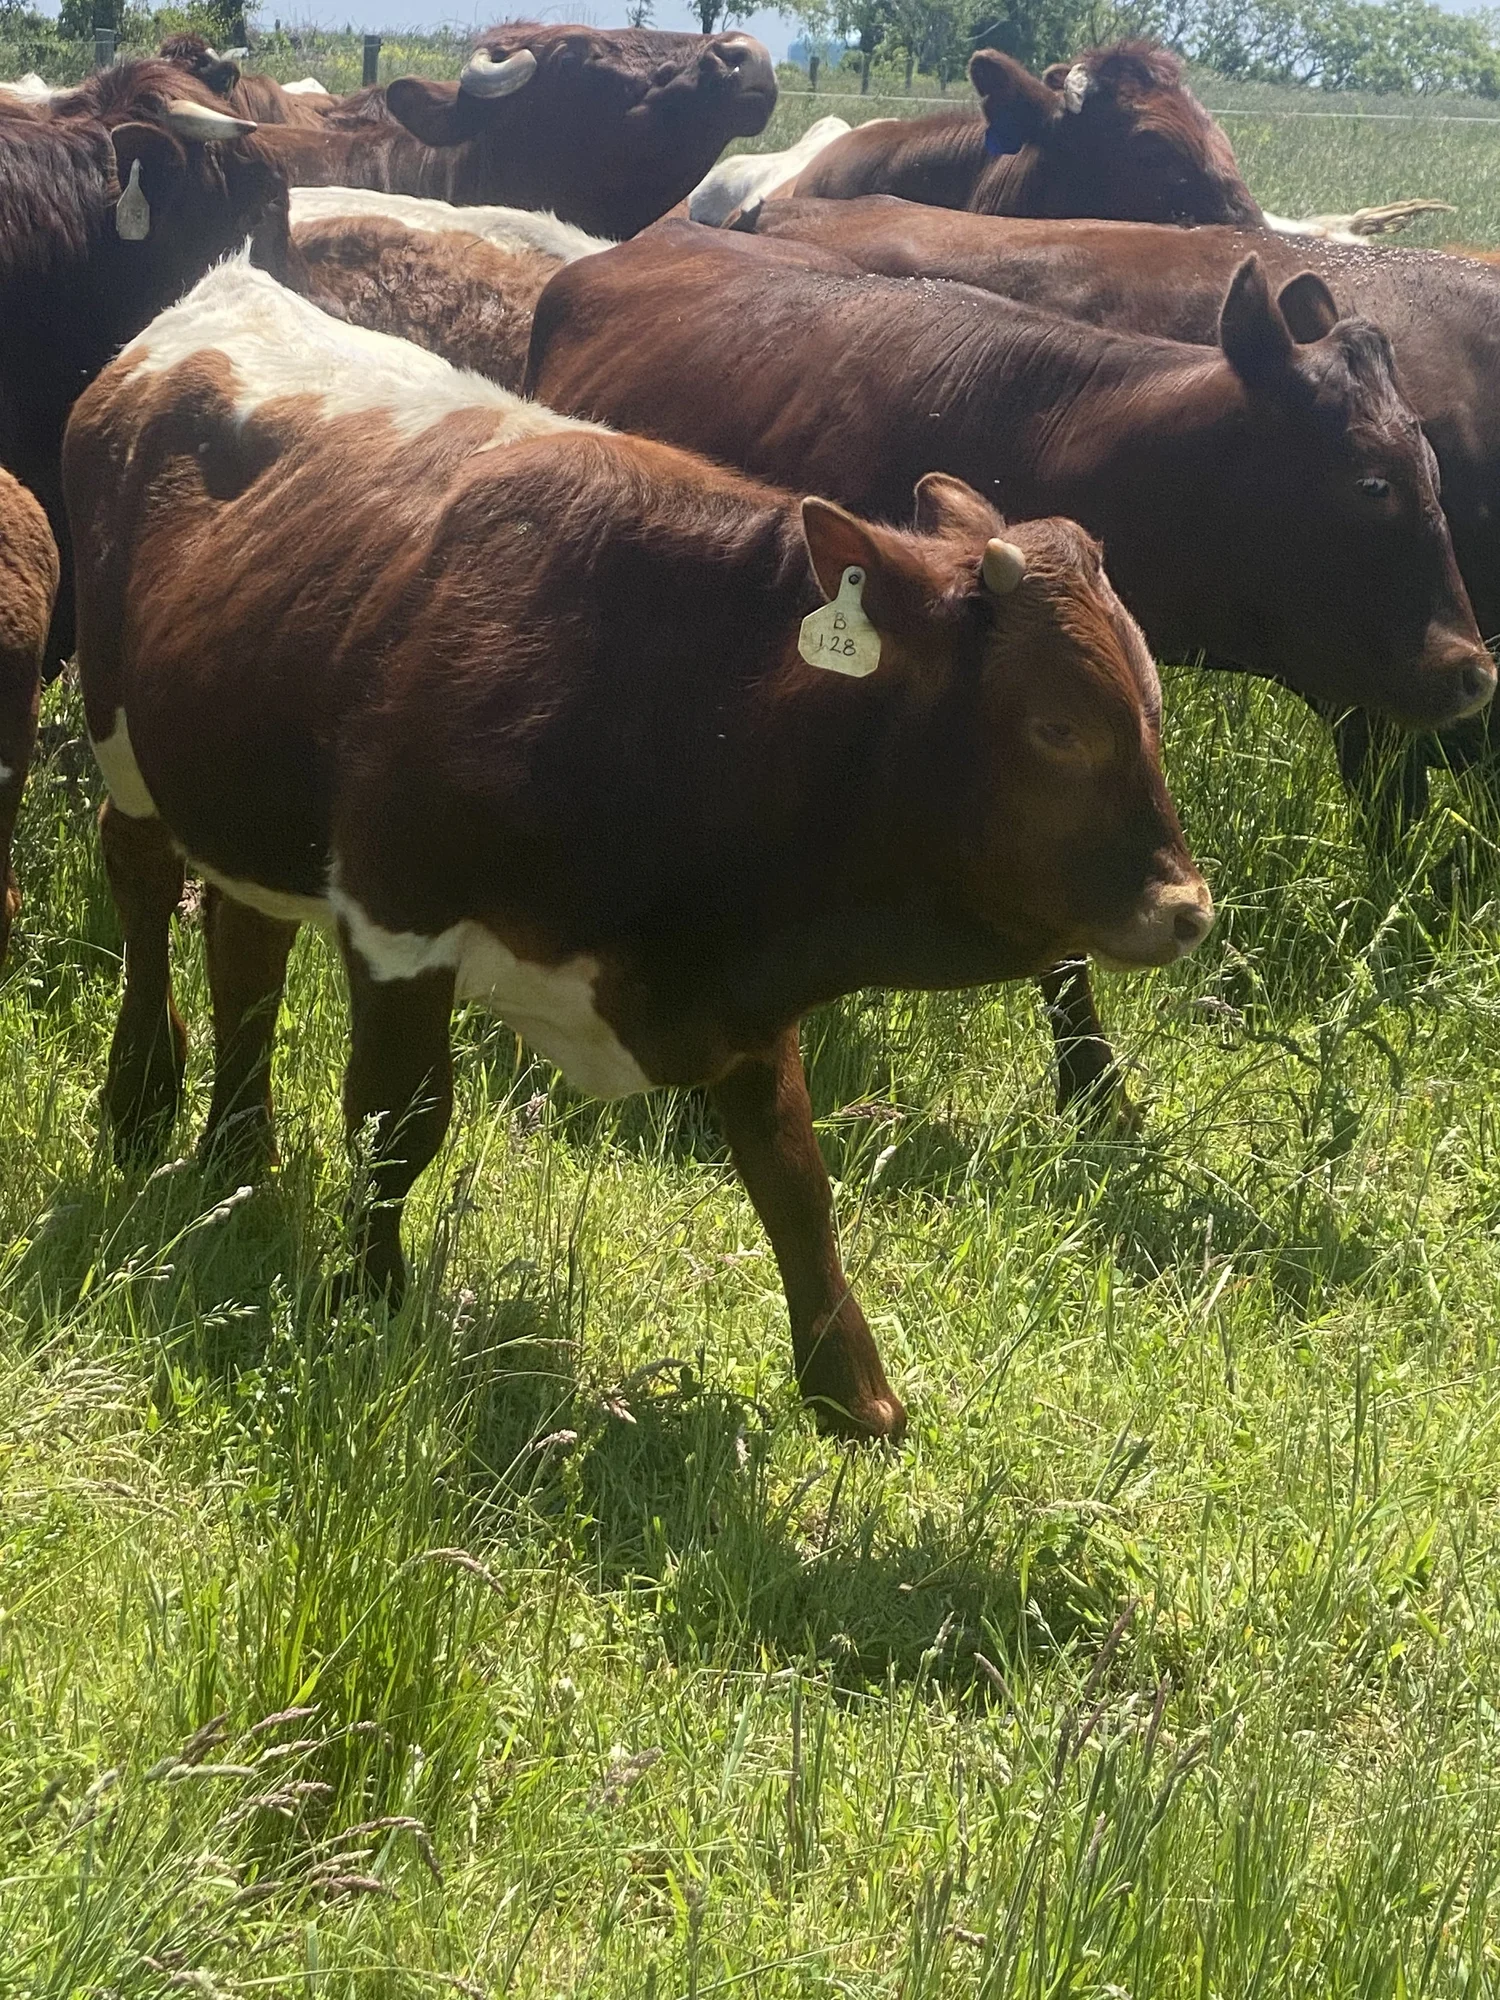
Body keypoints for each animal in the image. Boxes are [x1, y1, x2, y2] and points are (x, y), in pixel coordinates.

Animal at [65, 257, 1211, 1442]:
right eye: (1059, 727)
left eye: (1152, 705)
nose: (1187, 908)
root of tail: (223, 291)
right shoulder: (398, 913)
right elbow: (397, 1123)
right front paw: (366, 1300)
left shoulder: (744, 985)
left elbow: (793, 1170)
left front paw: (852, 1393)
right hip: (123, 734)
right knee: (144, 881)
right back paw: (143, 1098)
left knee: (245, 936)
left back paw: (239, 1147)